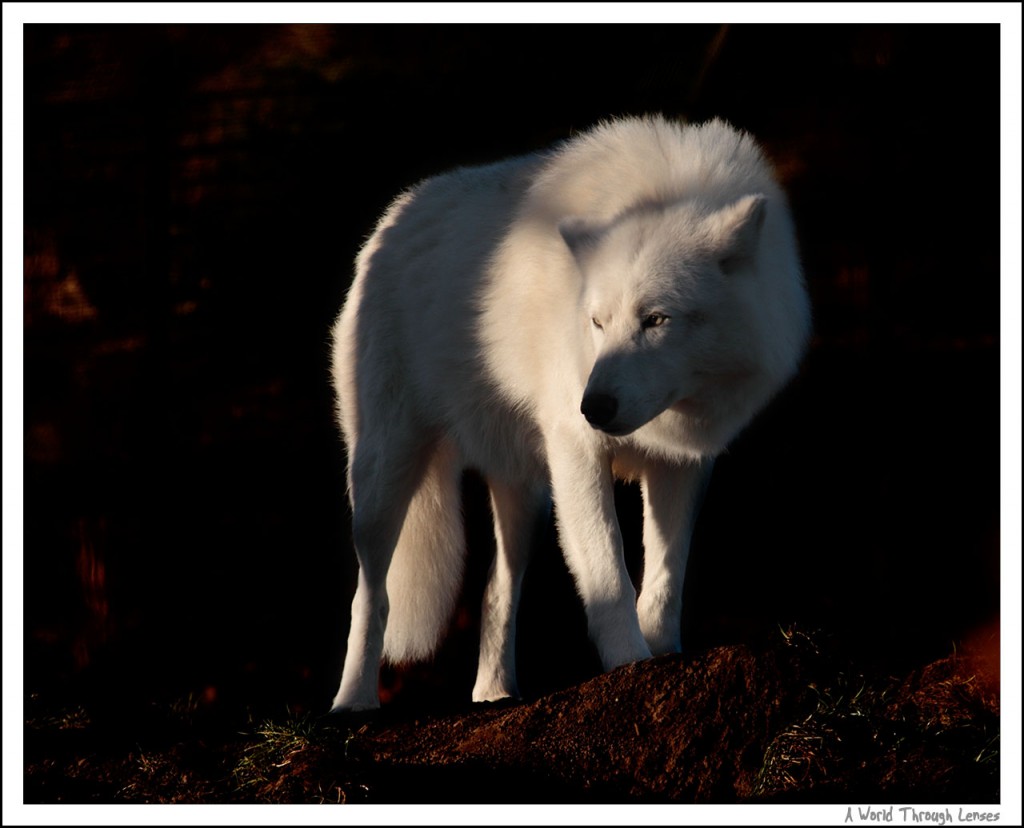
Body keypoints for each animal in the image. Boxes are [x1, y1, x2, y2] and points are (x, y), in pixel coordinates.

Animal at [329, 115, 811, 712]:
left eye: (656, 319)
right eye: (597, 322)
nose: (593, 405)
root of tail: (394, 215)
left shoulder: (682, 463)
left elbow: (664, 575)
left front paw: (663, 656)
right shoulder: (576, 451)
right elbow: (608, 573)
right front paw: (629, 664)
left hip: (527, 499)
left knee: (495, 590)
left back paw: (493, 694)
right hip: (385, 473)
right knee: (370, 593)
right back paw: (353, 703)